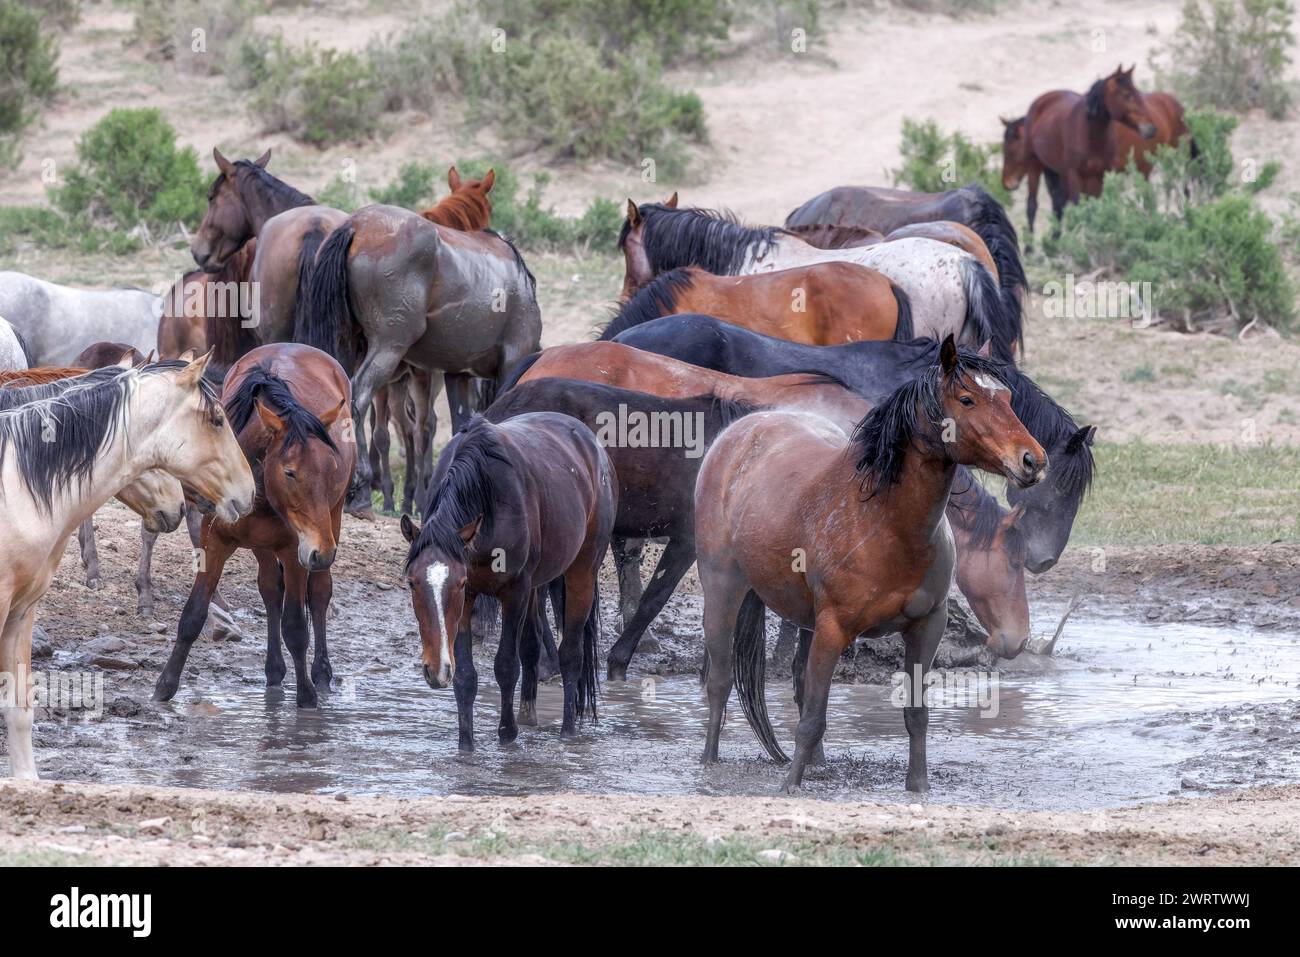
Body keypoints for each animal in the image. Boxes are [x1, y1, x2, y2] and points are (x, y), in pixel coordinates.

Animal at [153, 344, 354, 709]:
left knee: (319, 593)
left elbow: (296, 627)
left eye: (331, 467)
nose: (321, 552)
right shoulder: (214, 542)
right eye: (290, 472)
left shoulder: (296, 550)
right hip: (267, 545)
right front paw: (165, 686)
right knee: (270, 590)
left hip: (331, 522)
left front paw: (307, 697)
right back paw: (274, 671)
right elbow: (193, 615)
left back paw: (320, 674)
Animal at [303, 205, 542, 512]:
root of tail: (356, 225)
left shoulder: (458, 375)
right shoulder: (511, 363)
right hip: (388, 348)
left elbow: (461, 425)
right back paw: (361, 487)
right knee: (359, 396)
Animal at [400, 413, 617, 750]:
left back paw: (567, 731)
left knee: (571, 653)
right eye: (412, 583)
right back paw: (528, 714)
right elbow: (466, 675)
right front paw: (466, 745)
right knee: (531, 646)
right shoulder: (471, 599)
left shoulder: (513, 591)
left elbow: (505, 666)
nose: (435, 671)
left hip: (581, 571)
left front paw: (507, 734)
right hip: (538, 585)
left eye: (457, 583)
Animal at [694, 337, 1046, 793]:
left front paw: (918, 786)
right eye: (967, 399)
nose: (1033, 460)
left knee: (798, 684)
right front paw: (790, 786)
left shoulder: (926, 629)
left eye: (1006, 398)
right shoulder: (833, 629)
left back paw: (819, 765)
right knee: (720, 681)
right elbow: (812, 717)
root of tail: (739, 434)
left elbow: (914, 715)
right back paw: (710, 761)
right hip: (723, 588)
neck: (885, 522)